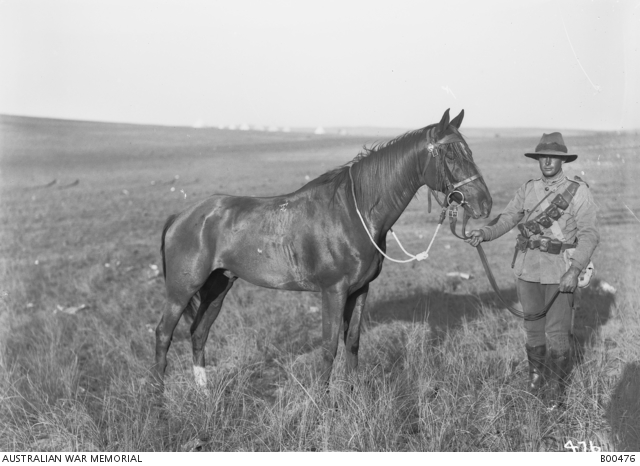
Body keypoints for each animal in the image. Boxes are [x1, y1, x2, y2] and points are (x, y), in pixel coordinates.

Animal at [152, 108, 492, 392]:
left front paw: (354, 397)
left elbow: (352, 343)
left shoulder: (360, 290)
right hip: (182, 289)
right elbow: (329, 348)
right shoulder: (333, 291)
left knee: (198, 333)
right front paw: (323, 403)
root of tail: (181, 216)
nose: (484, 204)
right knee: (163, 334)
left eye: (469, 151)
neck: (353, 213)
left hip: (218, 285)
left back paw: (204, 392)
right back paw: (159, 399)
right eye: (450, 154)